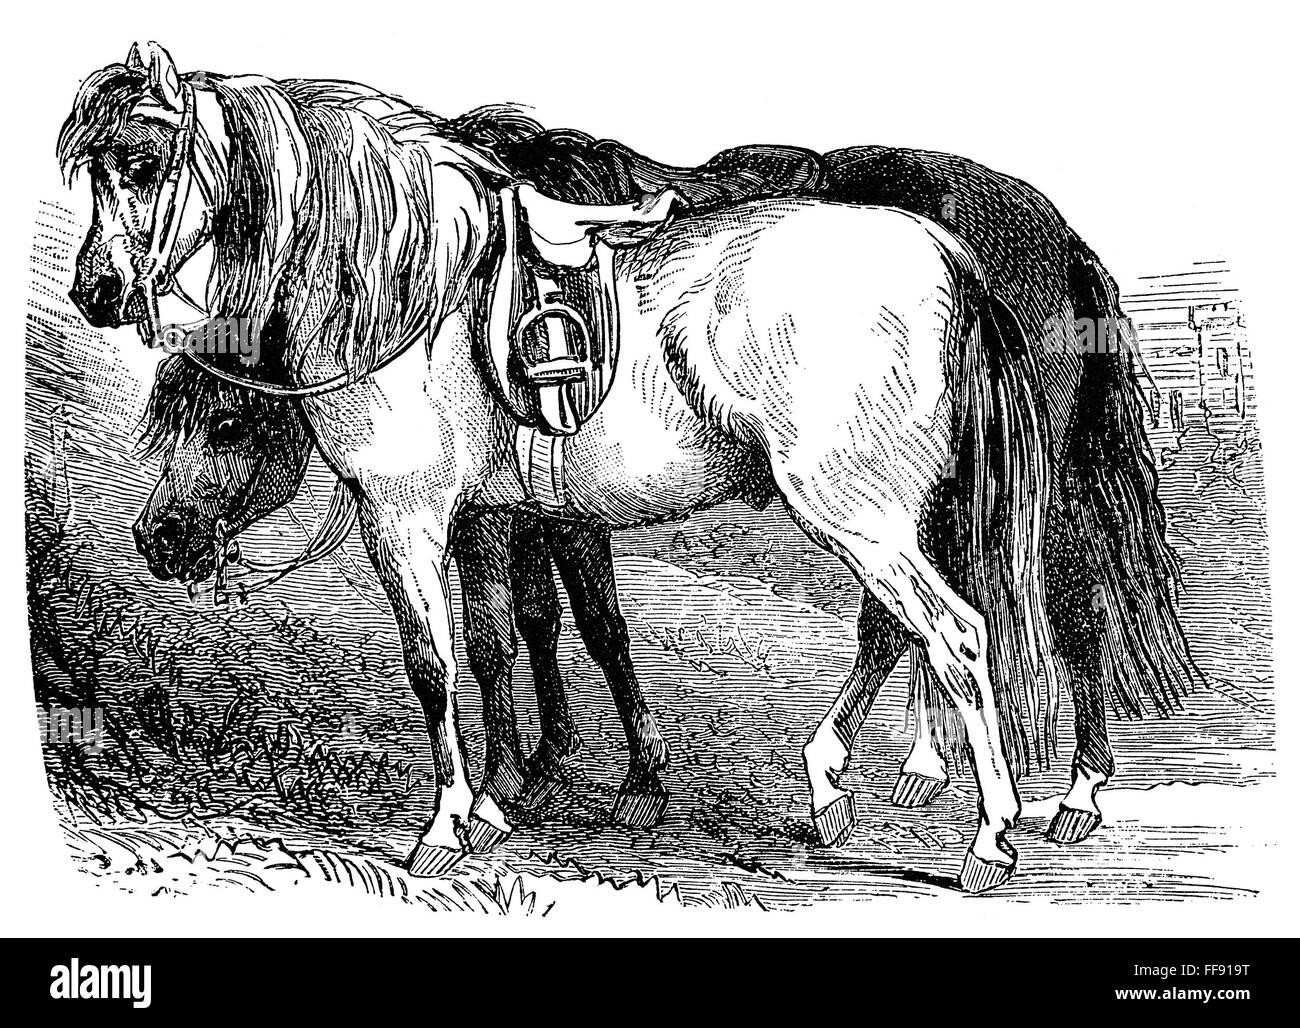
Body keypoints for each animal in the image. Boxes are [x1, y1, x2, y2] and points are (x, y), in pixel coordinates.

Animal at [60, 42, 1200, 891]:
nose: (97, 291)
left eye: (143, 165)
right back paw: (879, 783)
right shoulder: (498, 514)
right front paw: (516, 788)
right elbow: (506, 637)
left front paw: (462, 818)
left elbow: (449, 658)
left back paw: (1002, 827)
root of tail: (955, 248)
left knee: (980, 628)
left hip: (865, 505)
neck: (417, 283)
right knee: (922, 625)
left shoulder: (412, 515)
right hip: (907, 504)